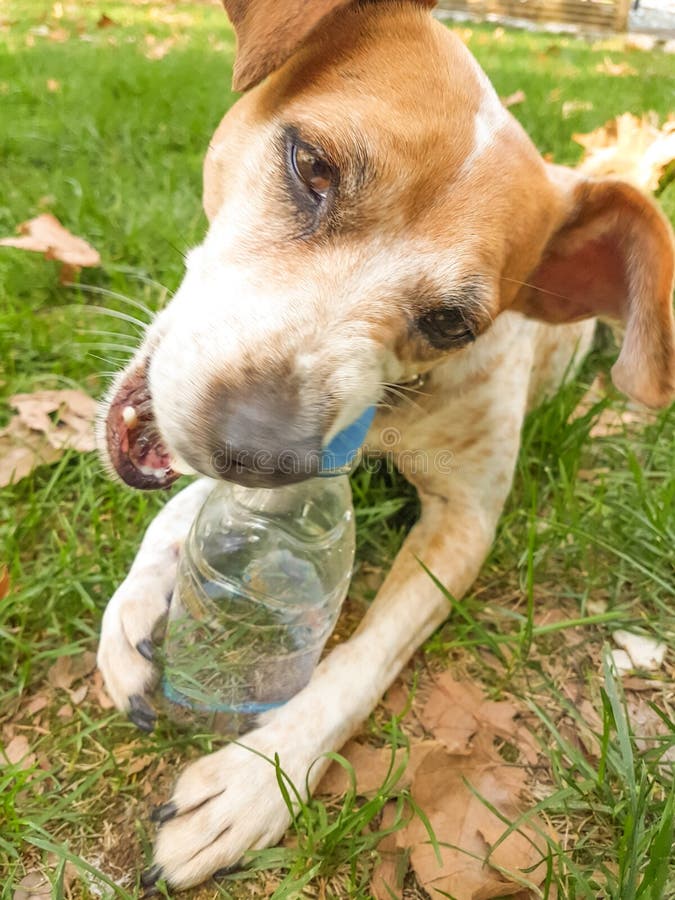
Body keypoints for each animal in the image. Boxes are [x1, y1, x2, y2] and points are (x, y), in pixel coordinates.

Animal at [95, 0, 675, 884]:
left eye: (450, 322)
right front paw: (131, 609)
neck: (390, 416)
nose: (258, 449)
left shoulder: (463, 523)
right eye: (312, 167)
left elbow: (361, 659)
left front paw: (257, 778)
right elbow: (174, 520)